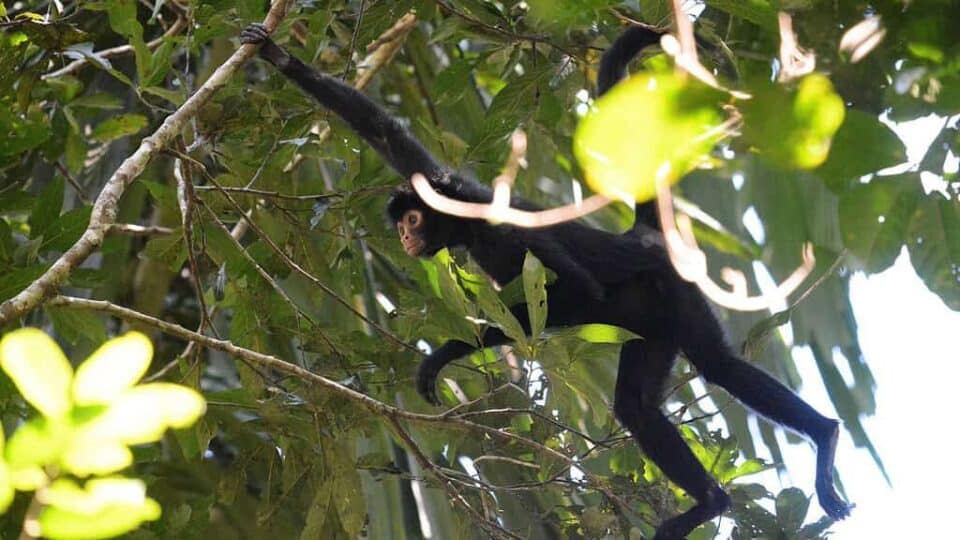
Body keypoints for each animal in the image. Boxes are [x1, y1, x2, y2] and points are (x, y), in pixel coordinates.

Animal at [240, 23, 852, 539]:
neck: (469, 221)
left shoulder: (504, 230)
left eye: (413, 221)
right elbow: (383, 131)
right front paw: (278, 57)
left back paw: (813, 441)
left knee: (716, 365)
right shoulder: (440, 181)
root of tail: (640, 237)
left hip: (674, 289)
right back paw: (713, 501)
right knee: (638, 403)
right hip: (654, 325)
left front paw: (444, 354)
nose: (406, 239)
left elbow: (578, 292)